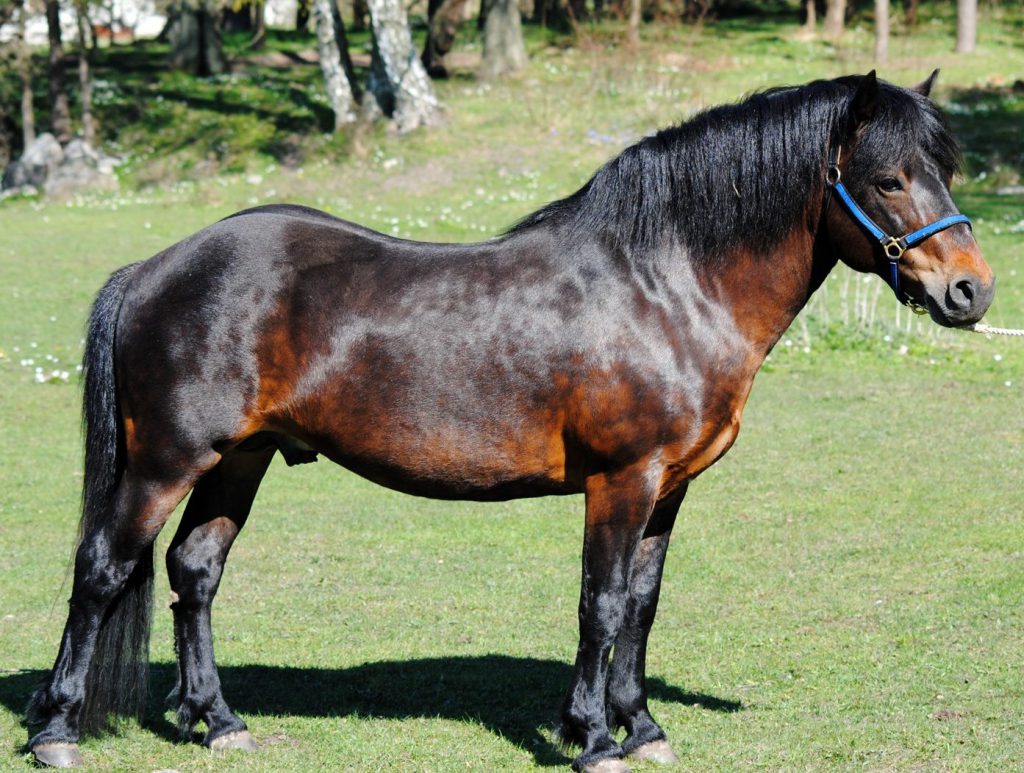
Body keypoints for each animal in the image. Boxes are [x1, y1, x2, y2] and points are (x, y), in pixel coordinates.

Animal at [27, 71, 994, 772]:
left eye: (943, 170)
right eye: (887, 178)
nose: (971, 291)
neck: (664, 285)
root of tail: (154, 266)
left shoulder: (669, 488)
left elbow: (643, 605)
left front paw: (642, 726)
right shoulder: (622, 479)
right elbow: (602, 604)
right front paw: (593, 738)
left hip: (242, 457)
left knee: (194, 570)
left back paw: (218, 719)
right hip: (167, 460)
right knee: (103, 568)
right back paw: (56, 731)